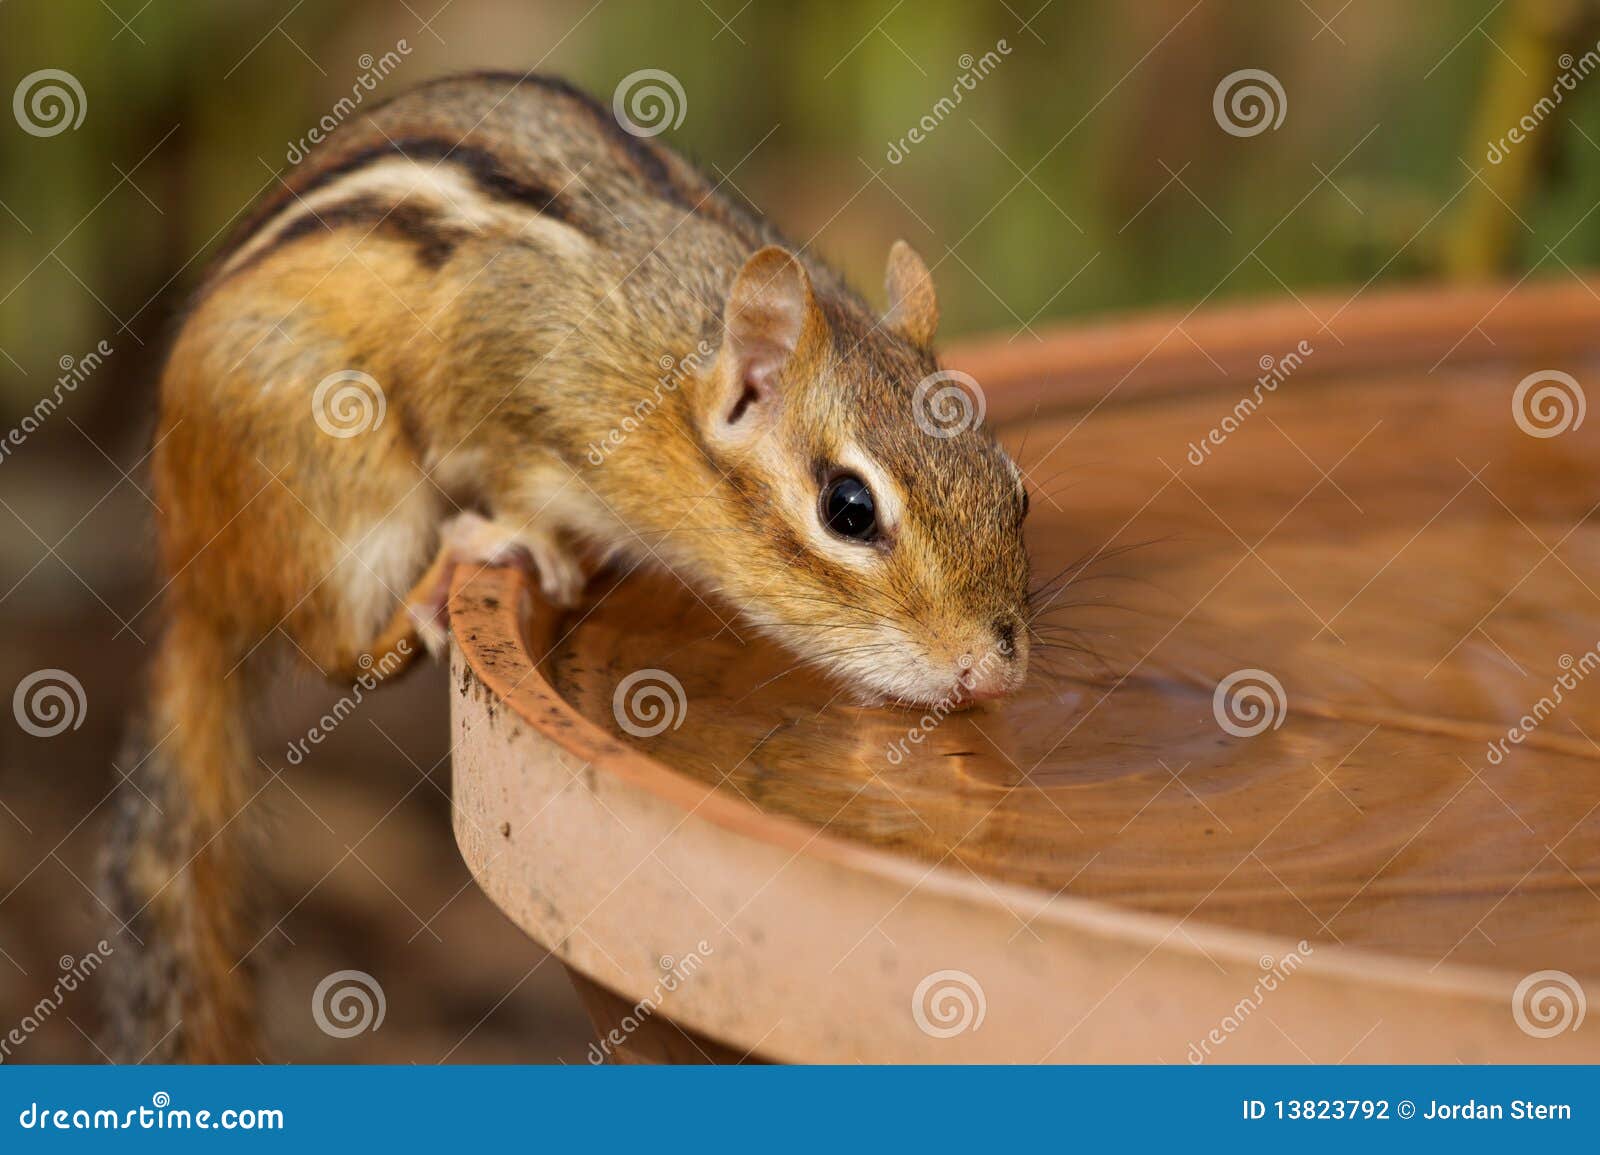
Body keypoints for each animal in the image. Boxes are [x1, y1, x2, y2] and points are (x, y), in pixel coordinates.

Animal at [101, 72, 1031, 1062]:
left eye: (1015, 489)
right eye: (848, 510)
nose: (992, 670)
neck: (667, 369)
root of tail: (191, 586)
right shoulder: (500, 381)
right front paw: (521, 530)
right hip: (333, 469)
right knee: (343, 654)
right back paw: (453, 566)